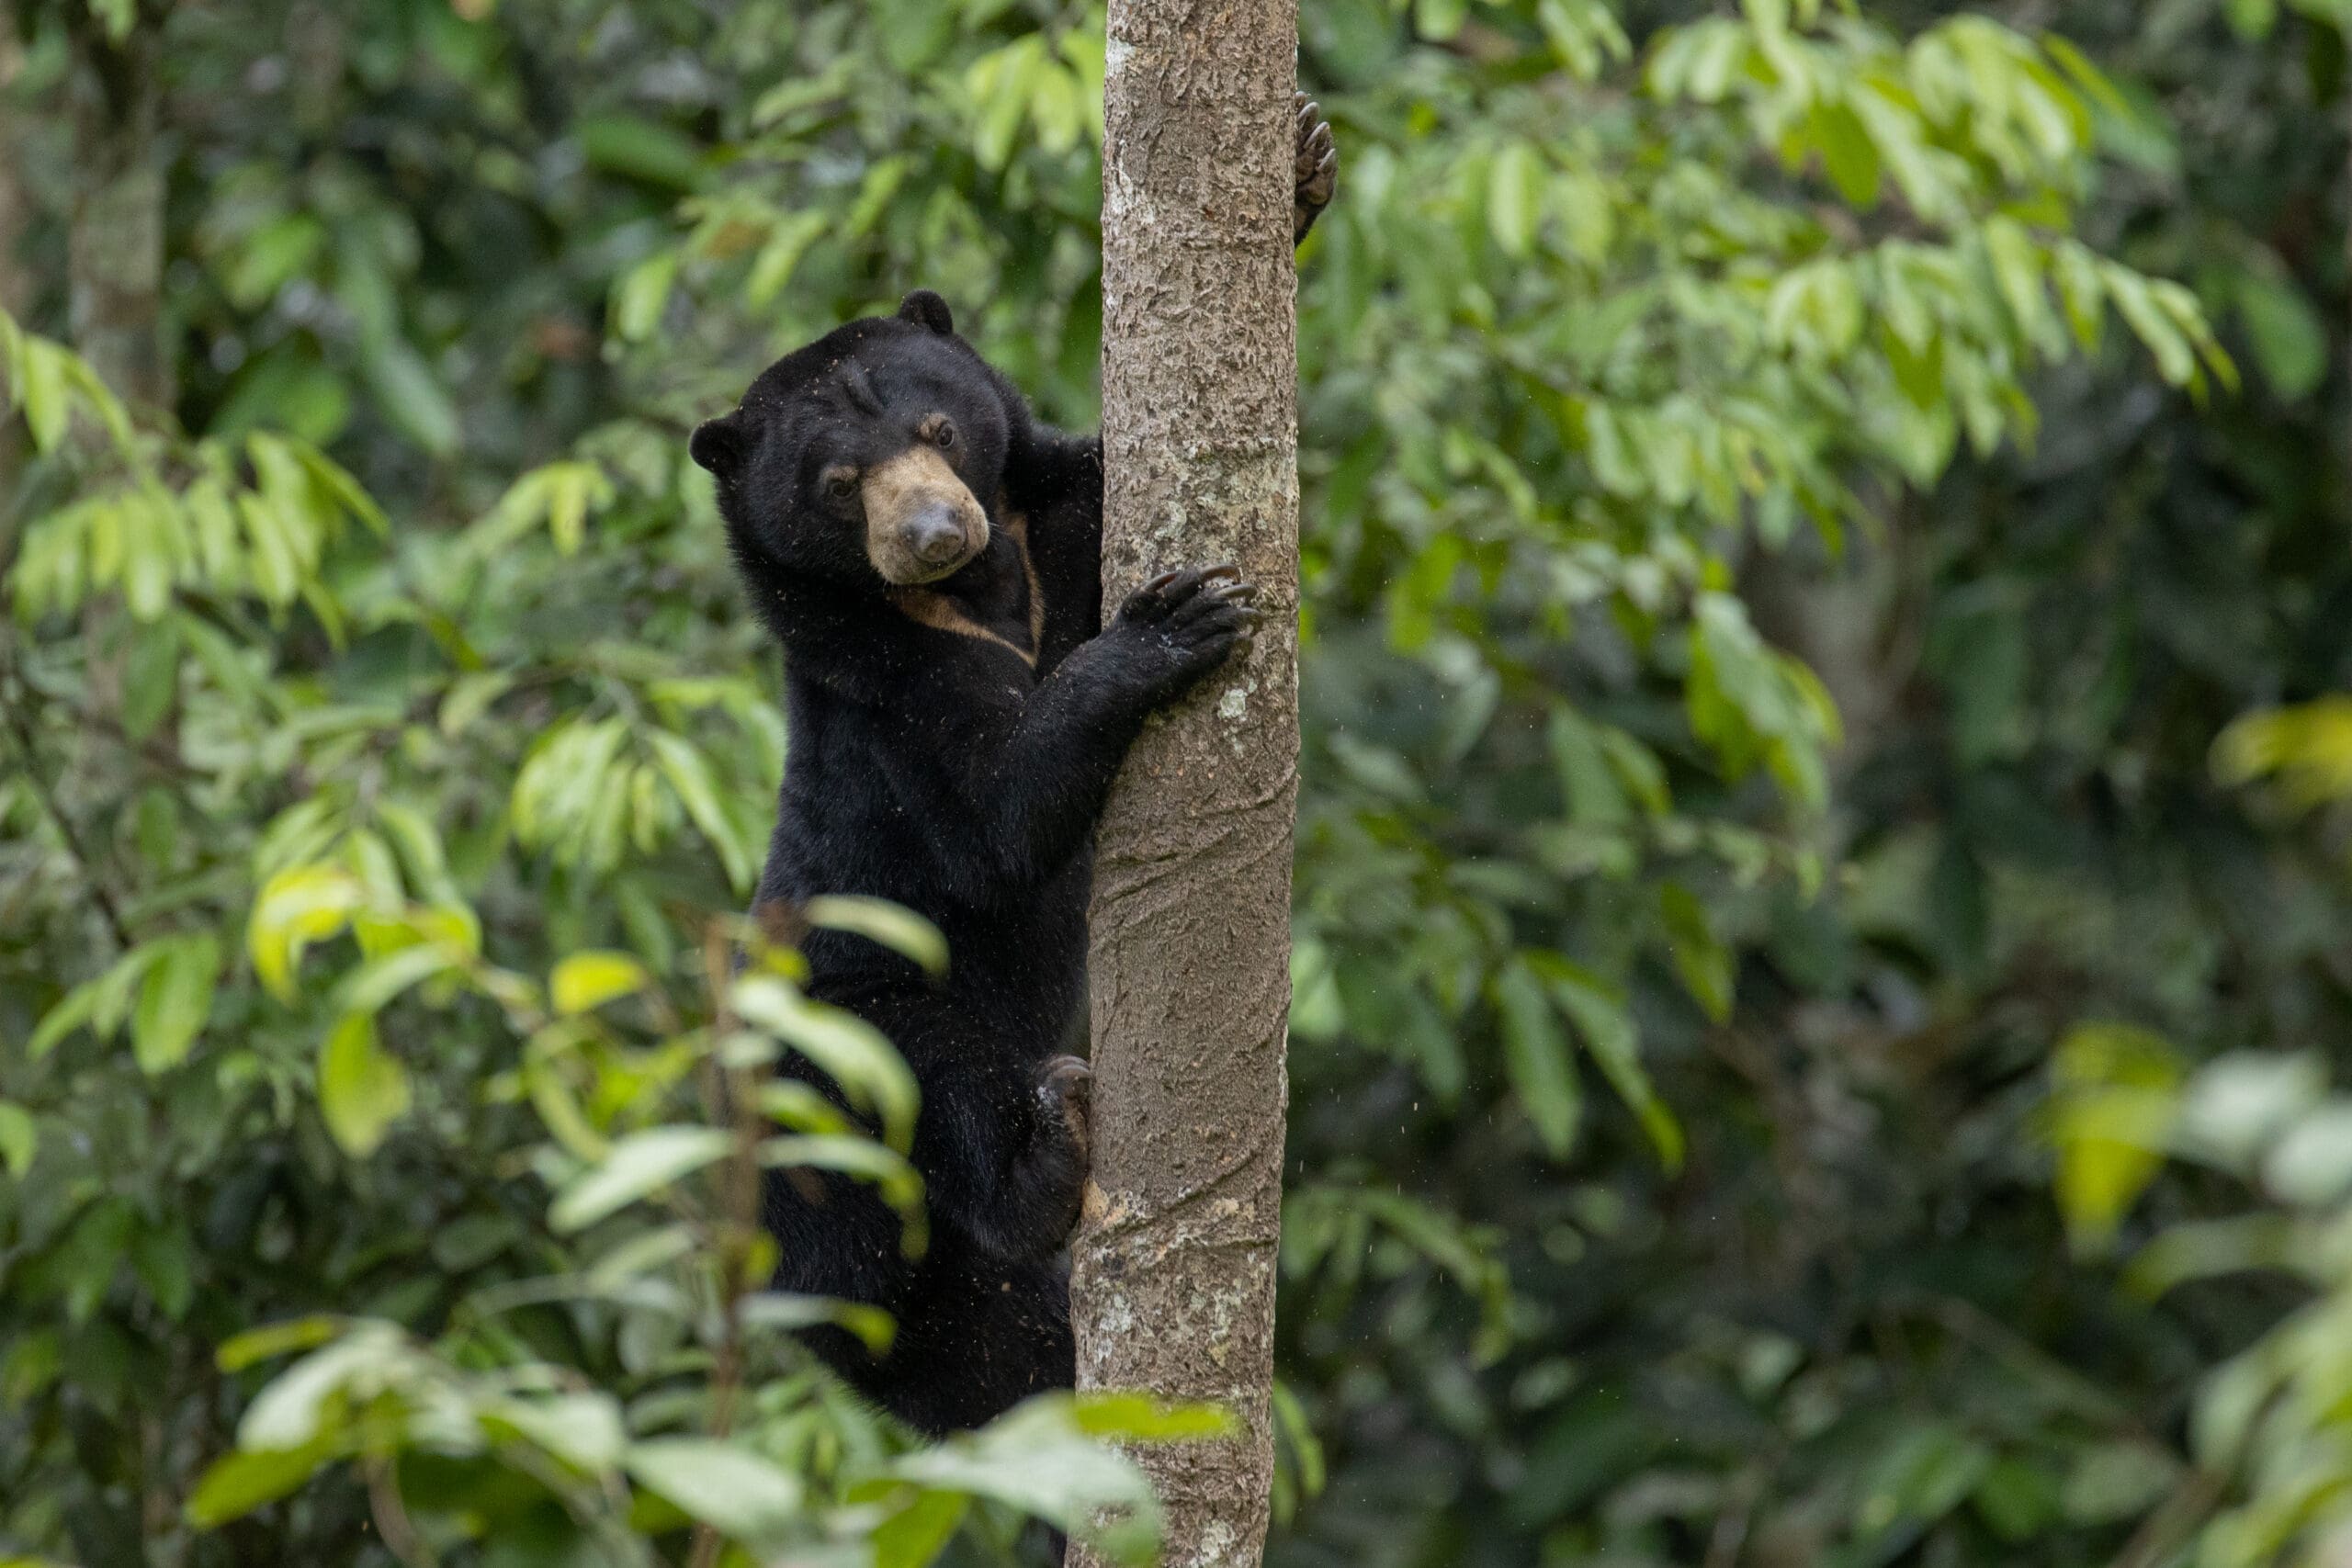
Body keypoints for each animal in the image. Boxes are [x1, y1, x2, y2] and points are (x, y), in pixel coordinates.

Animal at [686, 95, 1337, 1441]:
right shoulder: (886, 695)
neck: (979, 590)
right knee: (950, 1089)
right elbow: (998, 812)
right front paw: (1175, 622)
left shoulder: (1053, 526)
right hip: (848, 1024)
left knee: (999, 1345)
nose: (934, 530)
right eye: (839, 481)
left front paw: (1301, 169)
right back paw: (1051, 1153)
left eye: (937, 430)